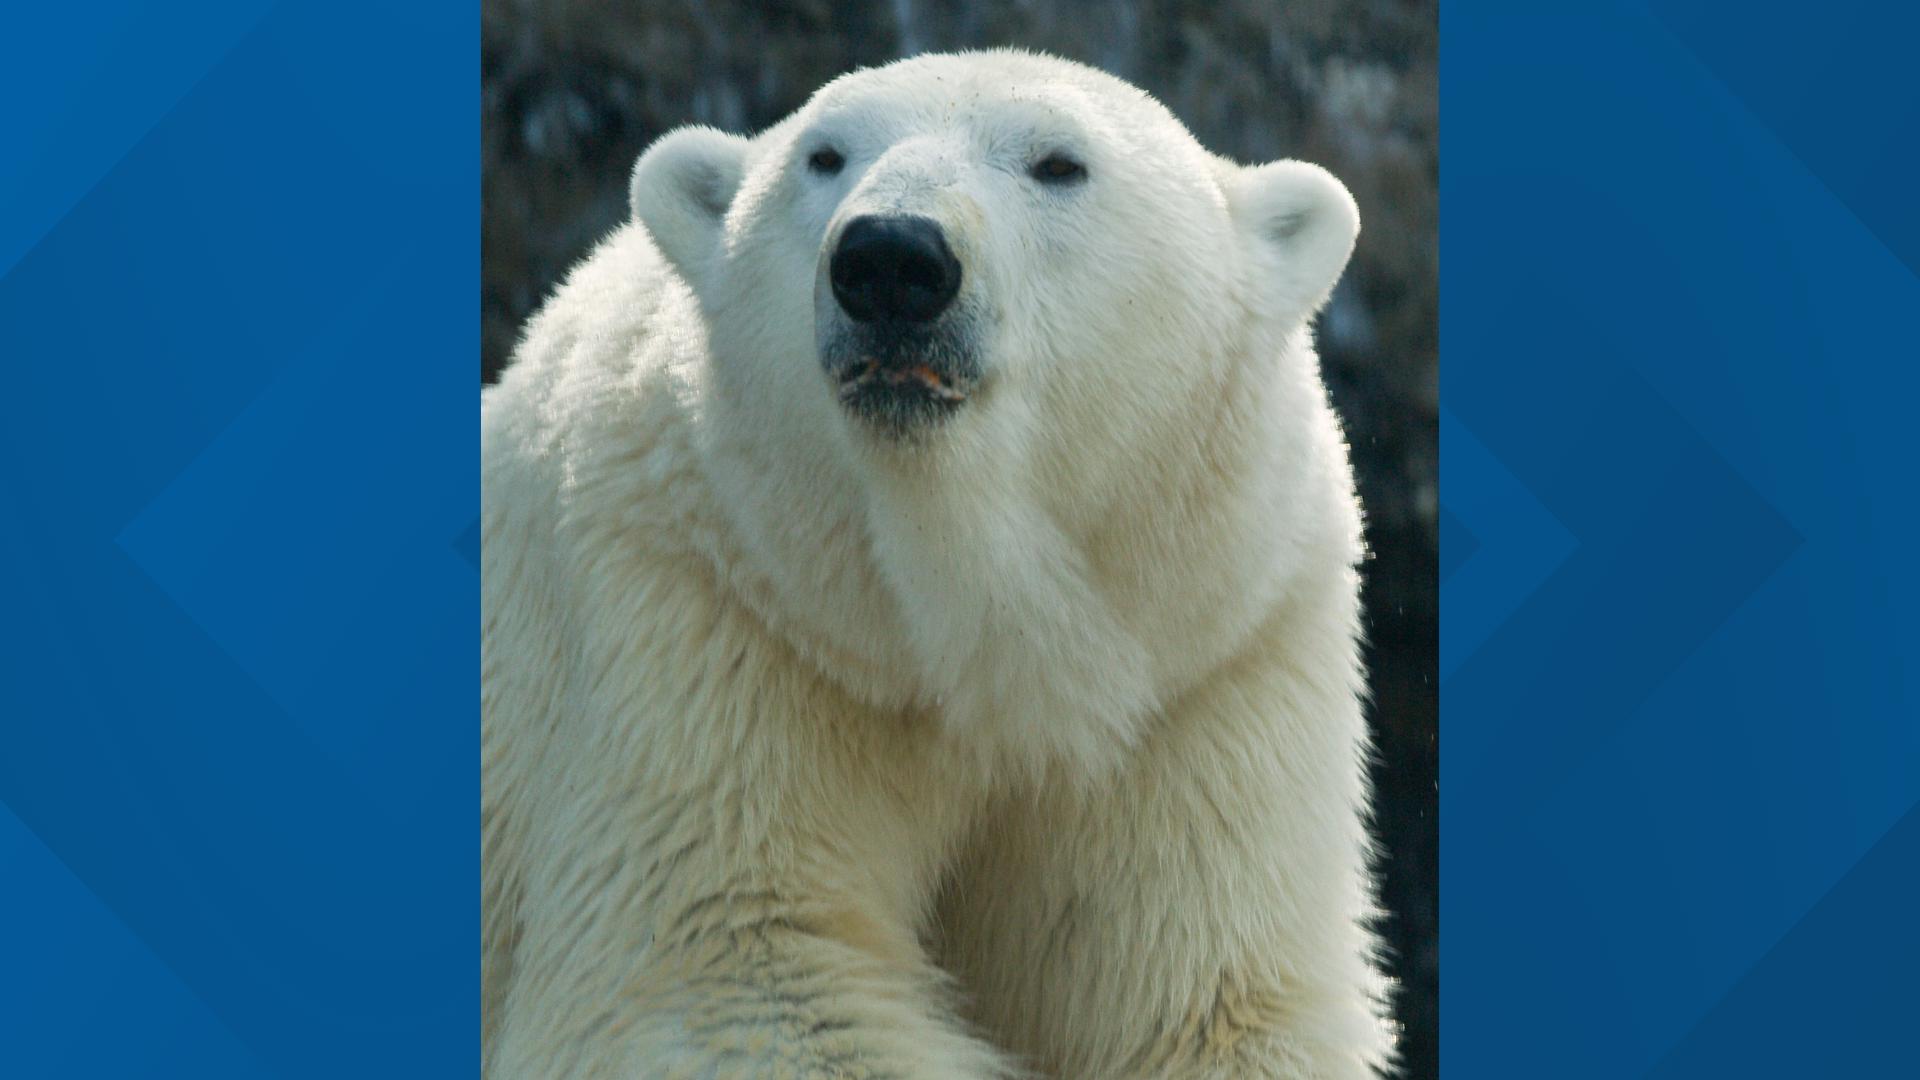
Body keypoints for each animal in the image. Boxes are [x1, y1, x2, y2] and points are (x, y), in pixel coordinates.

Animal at [483, 49, 1394, 1078]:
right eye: (823, 155)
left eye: (1058, 163)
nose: (891, 260)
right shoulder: (716, 616)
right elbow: (721, 959)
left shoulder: (1208, 655)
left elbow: (1202, 996)